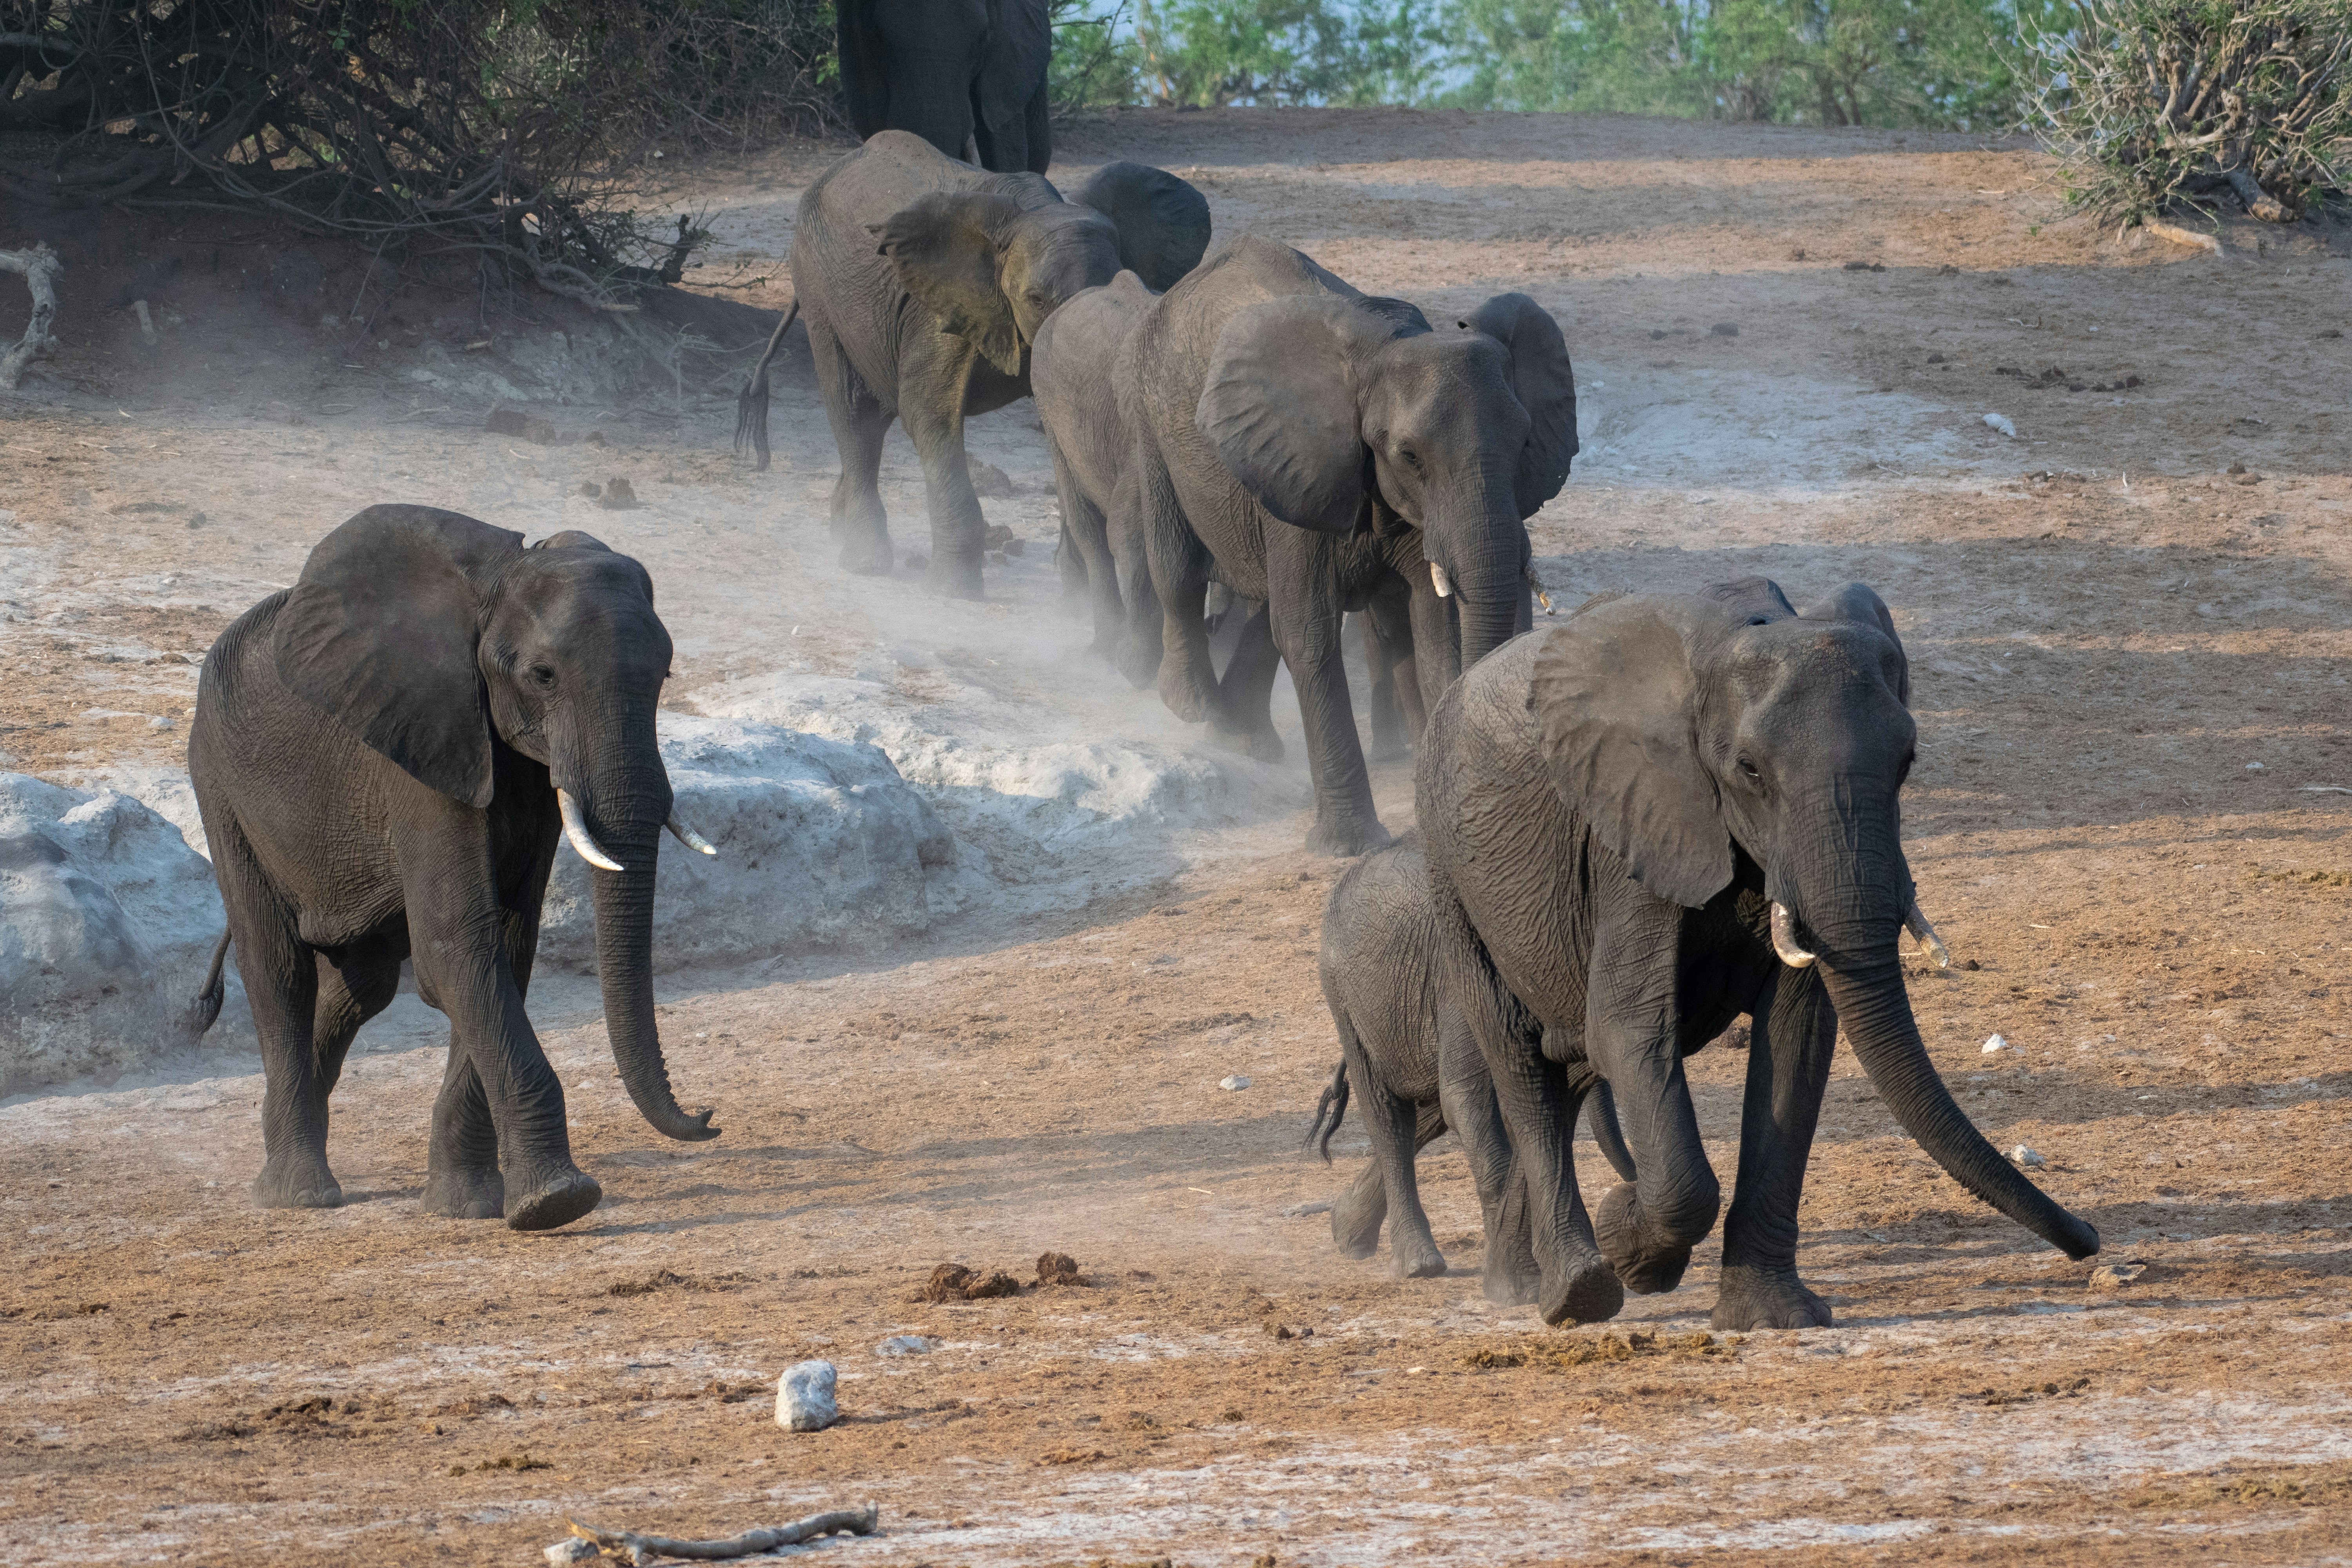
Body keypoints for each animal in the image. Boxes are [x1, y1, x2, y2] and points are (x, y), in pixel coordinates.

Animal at [186, 507, 721, 1231]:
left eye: (665, 677)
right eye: (544, 675)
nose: (708, 1116)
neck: (497, 584)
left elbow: (507, 946)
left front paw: (467, 1207)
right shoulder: (426, 743)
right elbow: (457, 949)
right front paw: (558, 1204)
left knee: (364, 983)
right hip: (220, 784)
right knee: (278, 966)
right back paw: (298, 1194)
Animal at [734, 132, 1211, 601]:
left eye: (1117, 280)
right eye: (1036, 300)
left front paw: (1074, 600)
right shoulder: (940, 306)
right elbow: (928, 414)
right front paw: (953, 592)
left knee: (877, 411)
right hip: (816, 283)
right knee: (856, 410)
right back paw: (865, 563)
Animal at [1114, 236, 1580, 853]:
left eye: (1525, 441)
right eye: (1409, 455)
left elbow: (1435, 624)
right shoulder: (1301, 458)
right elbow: (1308, 631)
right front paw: (1350, 847)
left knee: (1262, 608)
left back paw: (1243, 738)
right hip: (1151, 419)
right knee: (1178, 568)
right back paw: (1192, 708)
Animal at [1417, 577, 2100, 1330]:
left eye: (1908, 763)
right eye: (1748, 770)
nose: (2090, 1239)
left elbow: (1797, 1039)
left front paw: (1772, 1319)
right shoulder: (1634, 824)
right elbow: (1629, 1029)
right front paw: (1634, 1249)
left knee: (1569, 1068)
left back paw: (1525, 1279)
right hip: (1452, 876)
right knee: (1523, 1064)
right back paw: (1575, 1294)